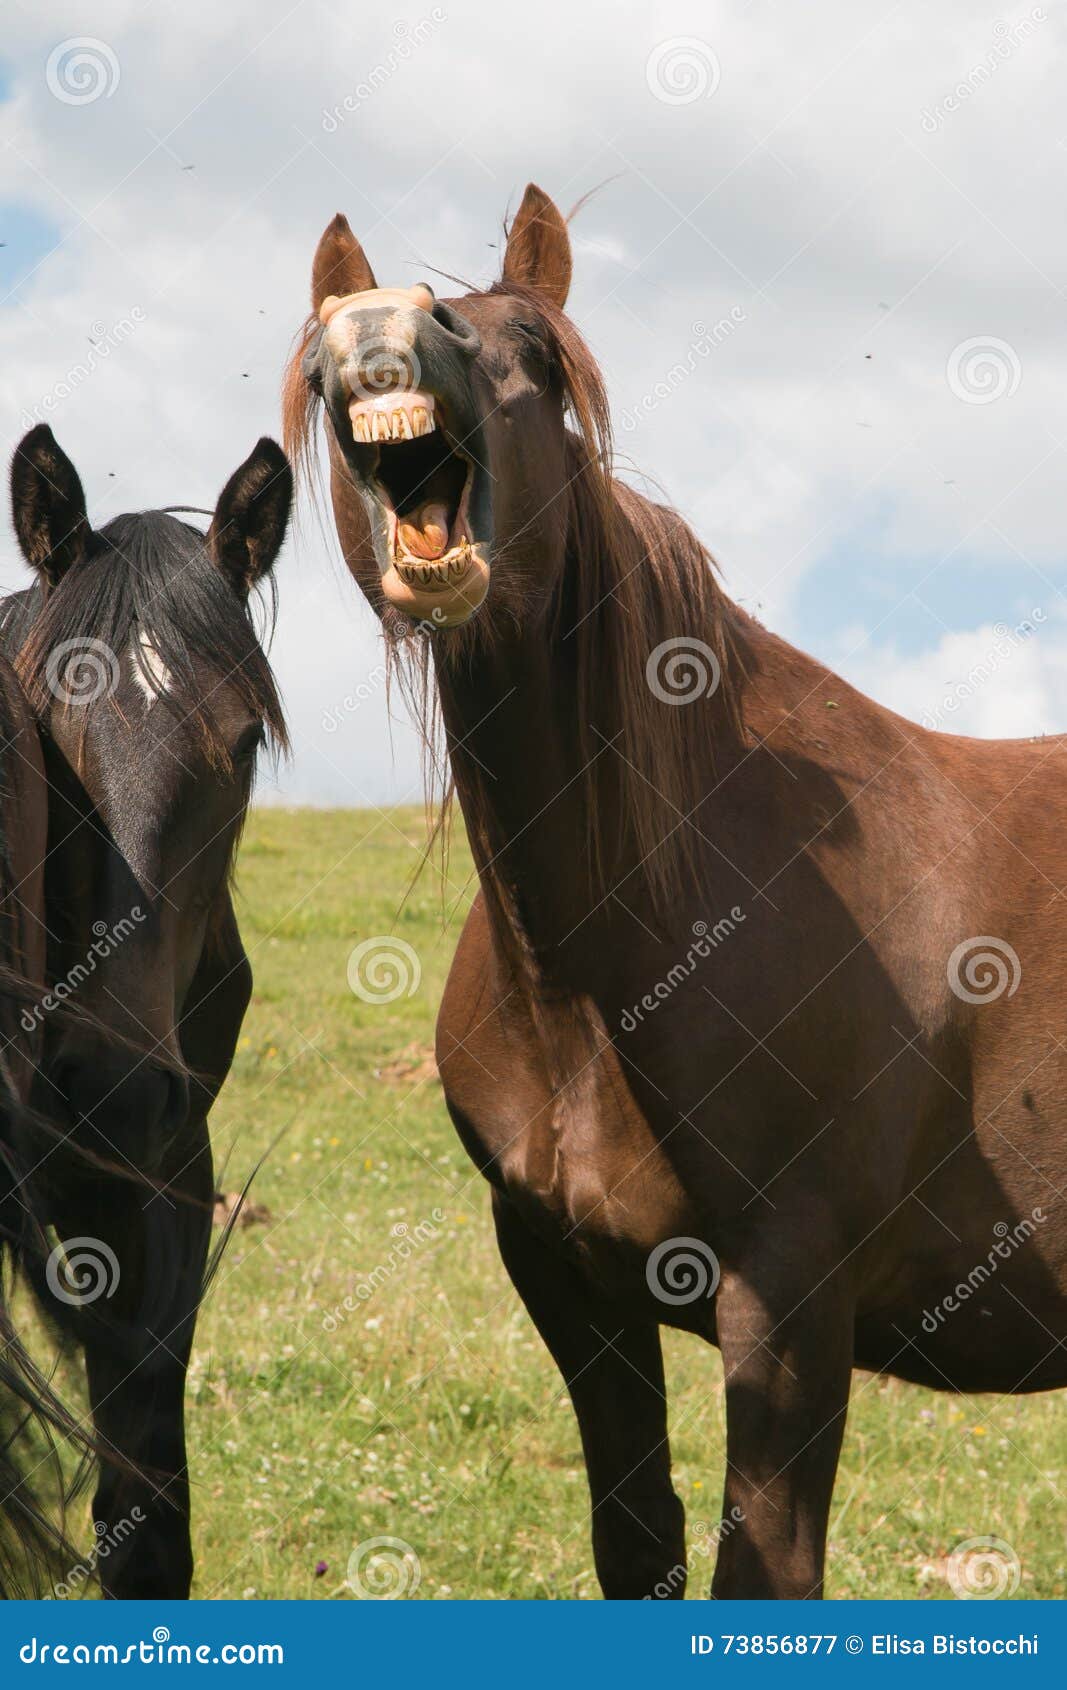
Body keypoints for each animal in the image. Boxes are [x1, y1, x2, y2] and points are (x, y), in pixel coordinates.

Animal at [286, 184, 1067, 1601]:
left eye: (533, 357)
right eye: (320, 375)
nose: (380, 327)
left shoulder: (788, 1296)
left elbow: (760, 1571)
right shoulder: (568, 1279)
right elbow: (635, 1541)